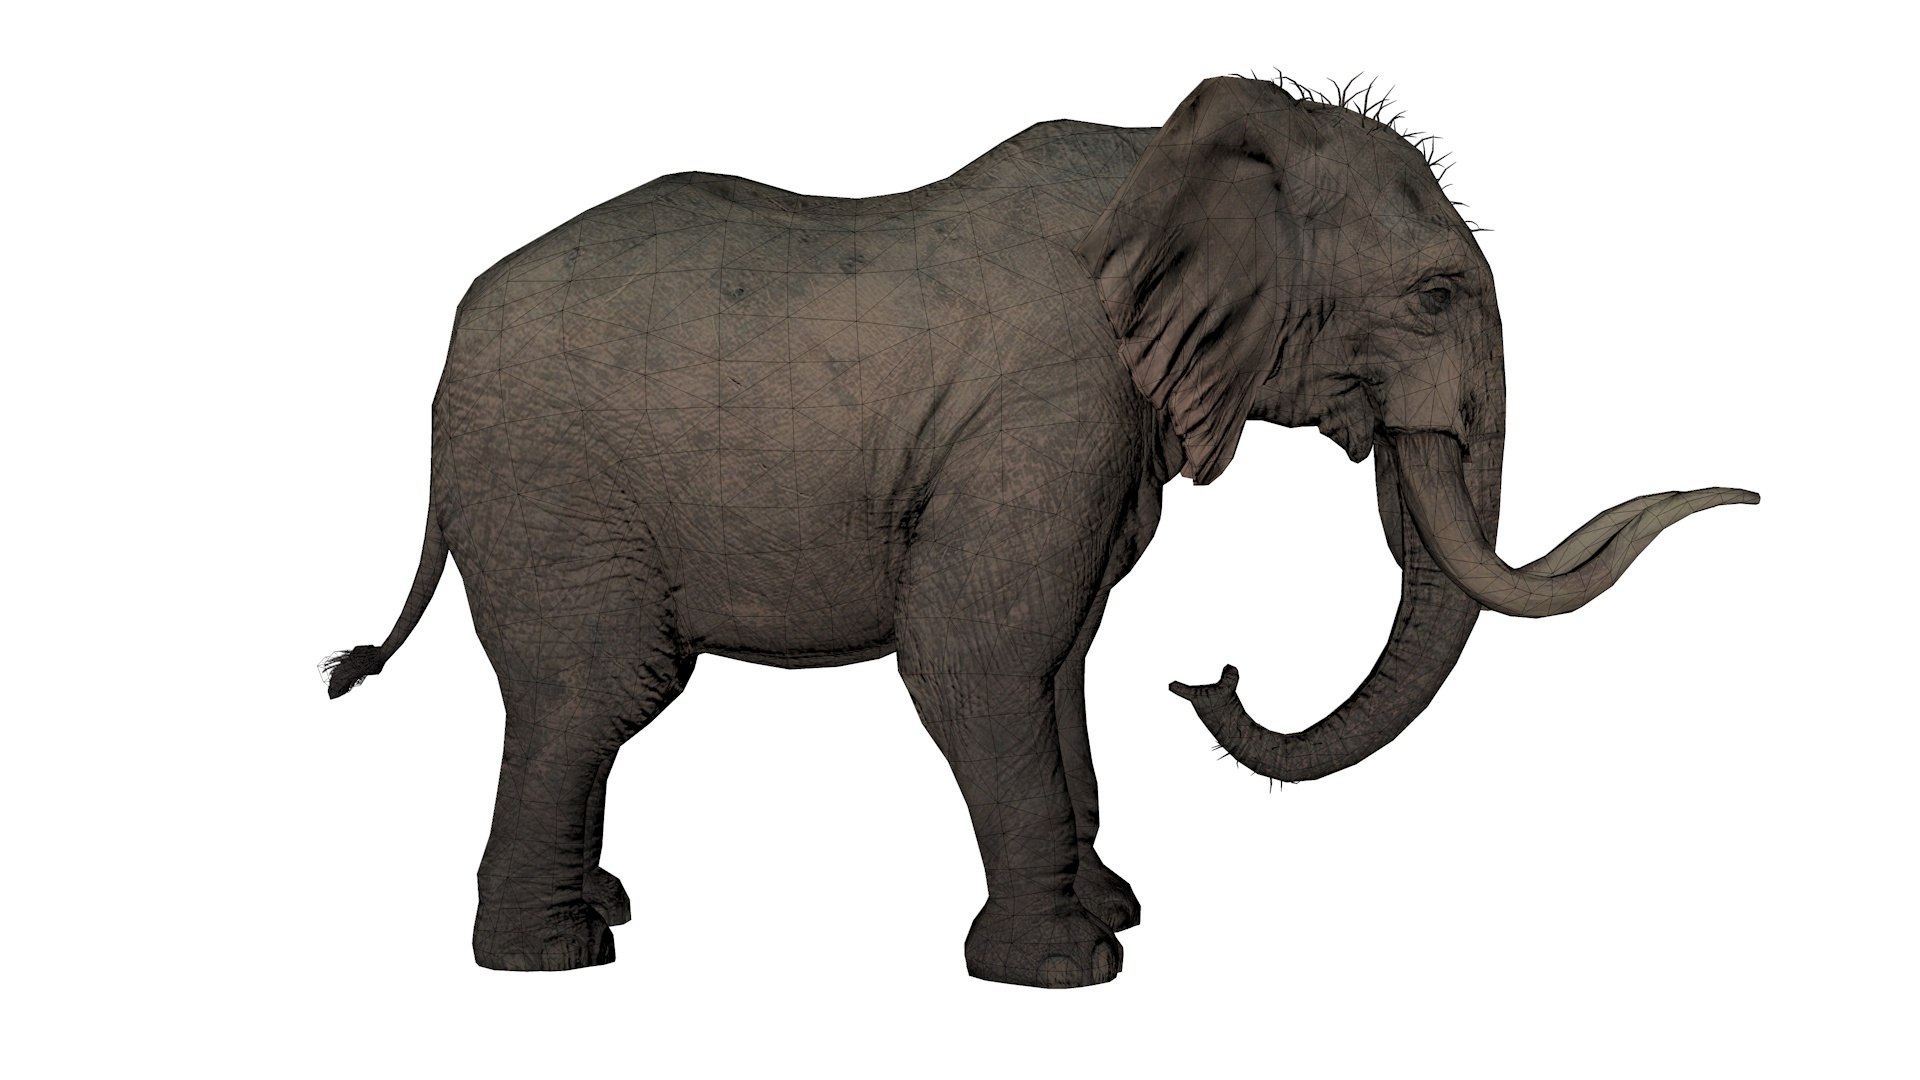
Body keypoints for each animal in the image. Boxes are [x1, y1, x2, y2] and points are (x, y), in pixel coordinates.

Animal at [322, 74, 1756, 988]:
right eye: (1438, 295)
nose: (1212, 675)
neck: (1173, 151)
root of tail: (447, 345)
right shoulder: (1054, 400)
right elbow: (980, 655)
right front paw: (1071, 968)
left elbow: (1060, 655)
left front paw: (1112, 908)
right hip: (553, 481)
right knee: (599, 686)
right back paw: (552, 956)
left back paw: (596, 909)